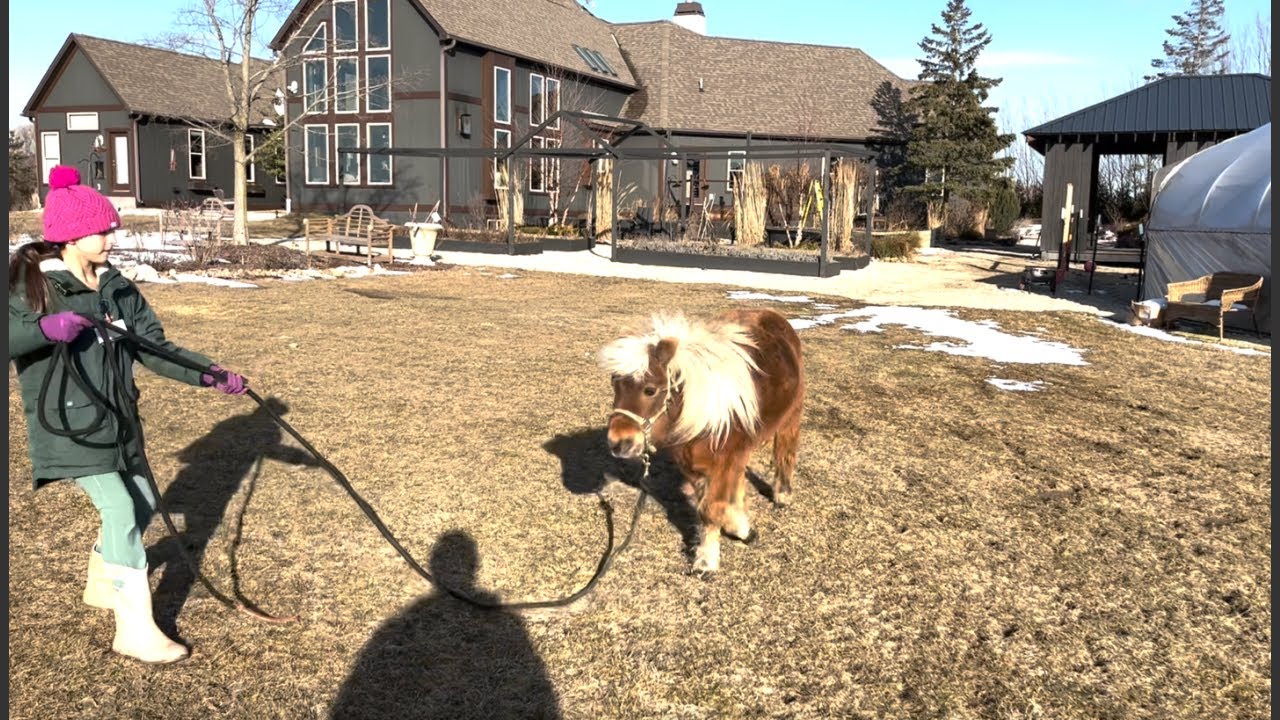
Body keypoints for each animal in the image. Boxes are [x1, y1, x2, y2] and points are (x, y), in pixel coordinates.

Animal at [599, 308, 805, 574]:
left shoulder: (721, 464)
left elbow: (710, 509)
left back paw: (782, 495)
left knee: (784, 453)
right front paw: (740, 528)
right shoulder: (696, 467)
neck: (704, 416)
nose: (618, 443)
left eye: (650, 390)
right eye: (614, 383)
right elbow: (709, 505)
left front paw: (706, 561)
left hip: (791, 416)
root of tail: (775, 316)